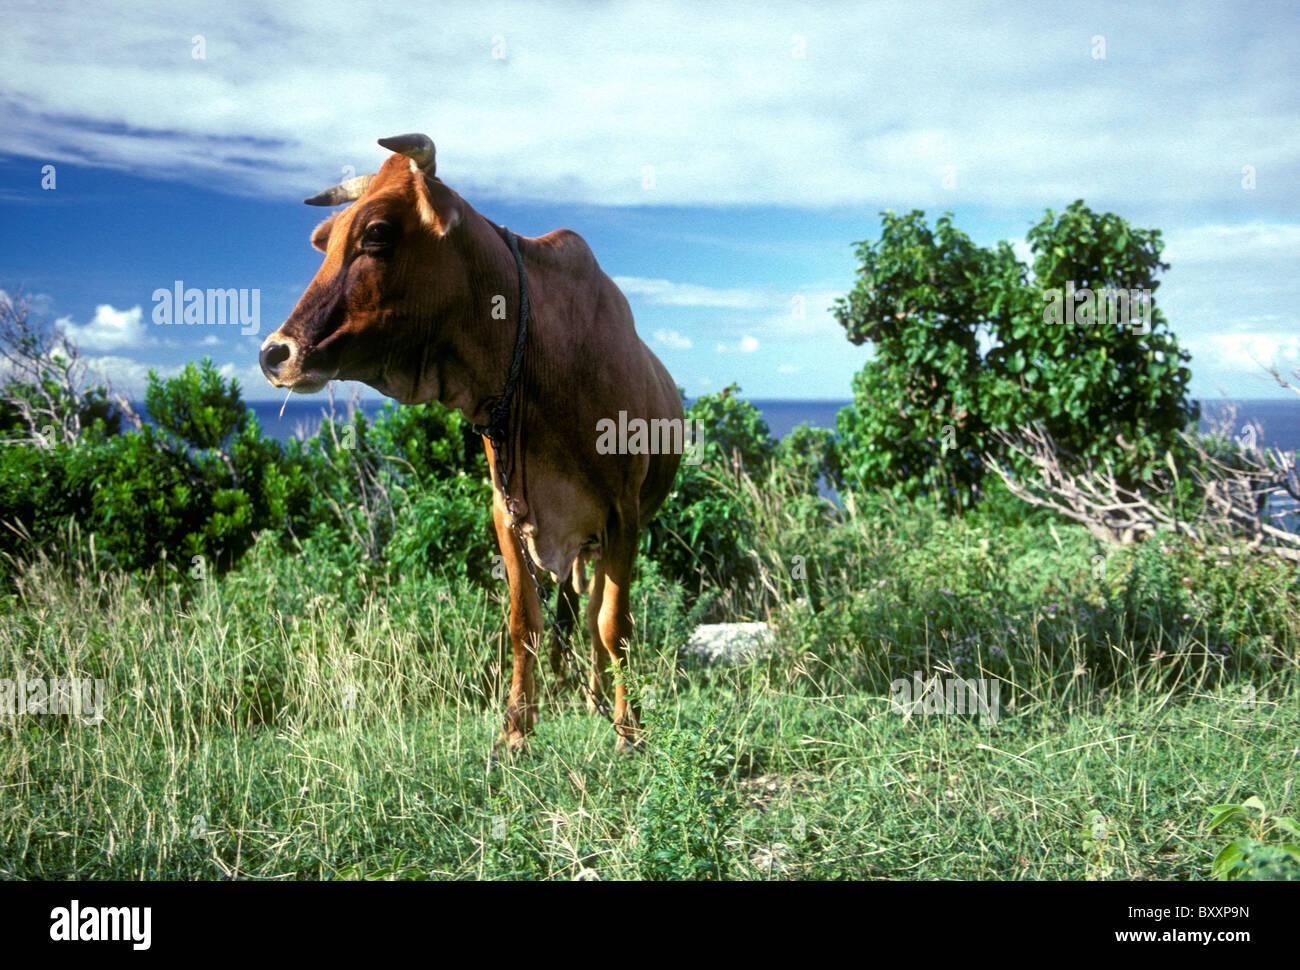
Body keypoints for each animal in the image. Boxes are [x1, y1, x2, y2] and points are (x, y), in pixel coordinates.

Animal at [259, 134, 684, 752]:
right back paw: (591, 697)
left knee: (594, 615)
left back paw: (603, 701)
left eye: (377, 232)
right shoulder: (509, 511)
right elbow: (525, 622)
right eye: (328, 239)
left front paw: (630, 728)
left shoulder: (623, 514)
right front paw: (515, 730)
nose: (274, 354)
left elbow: (614, 625)